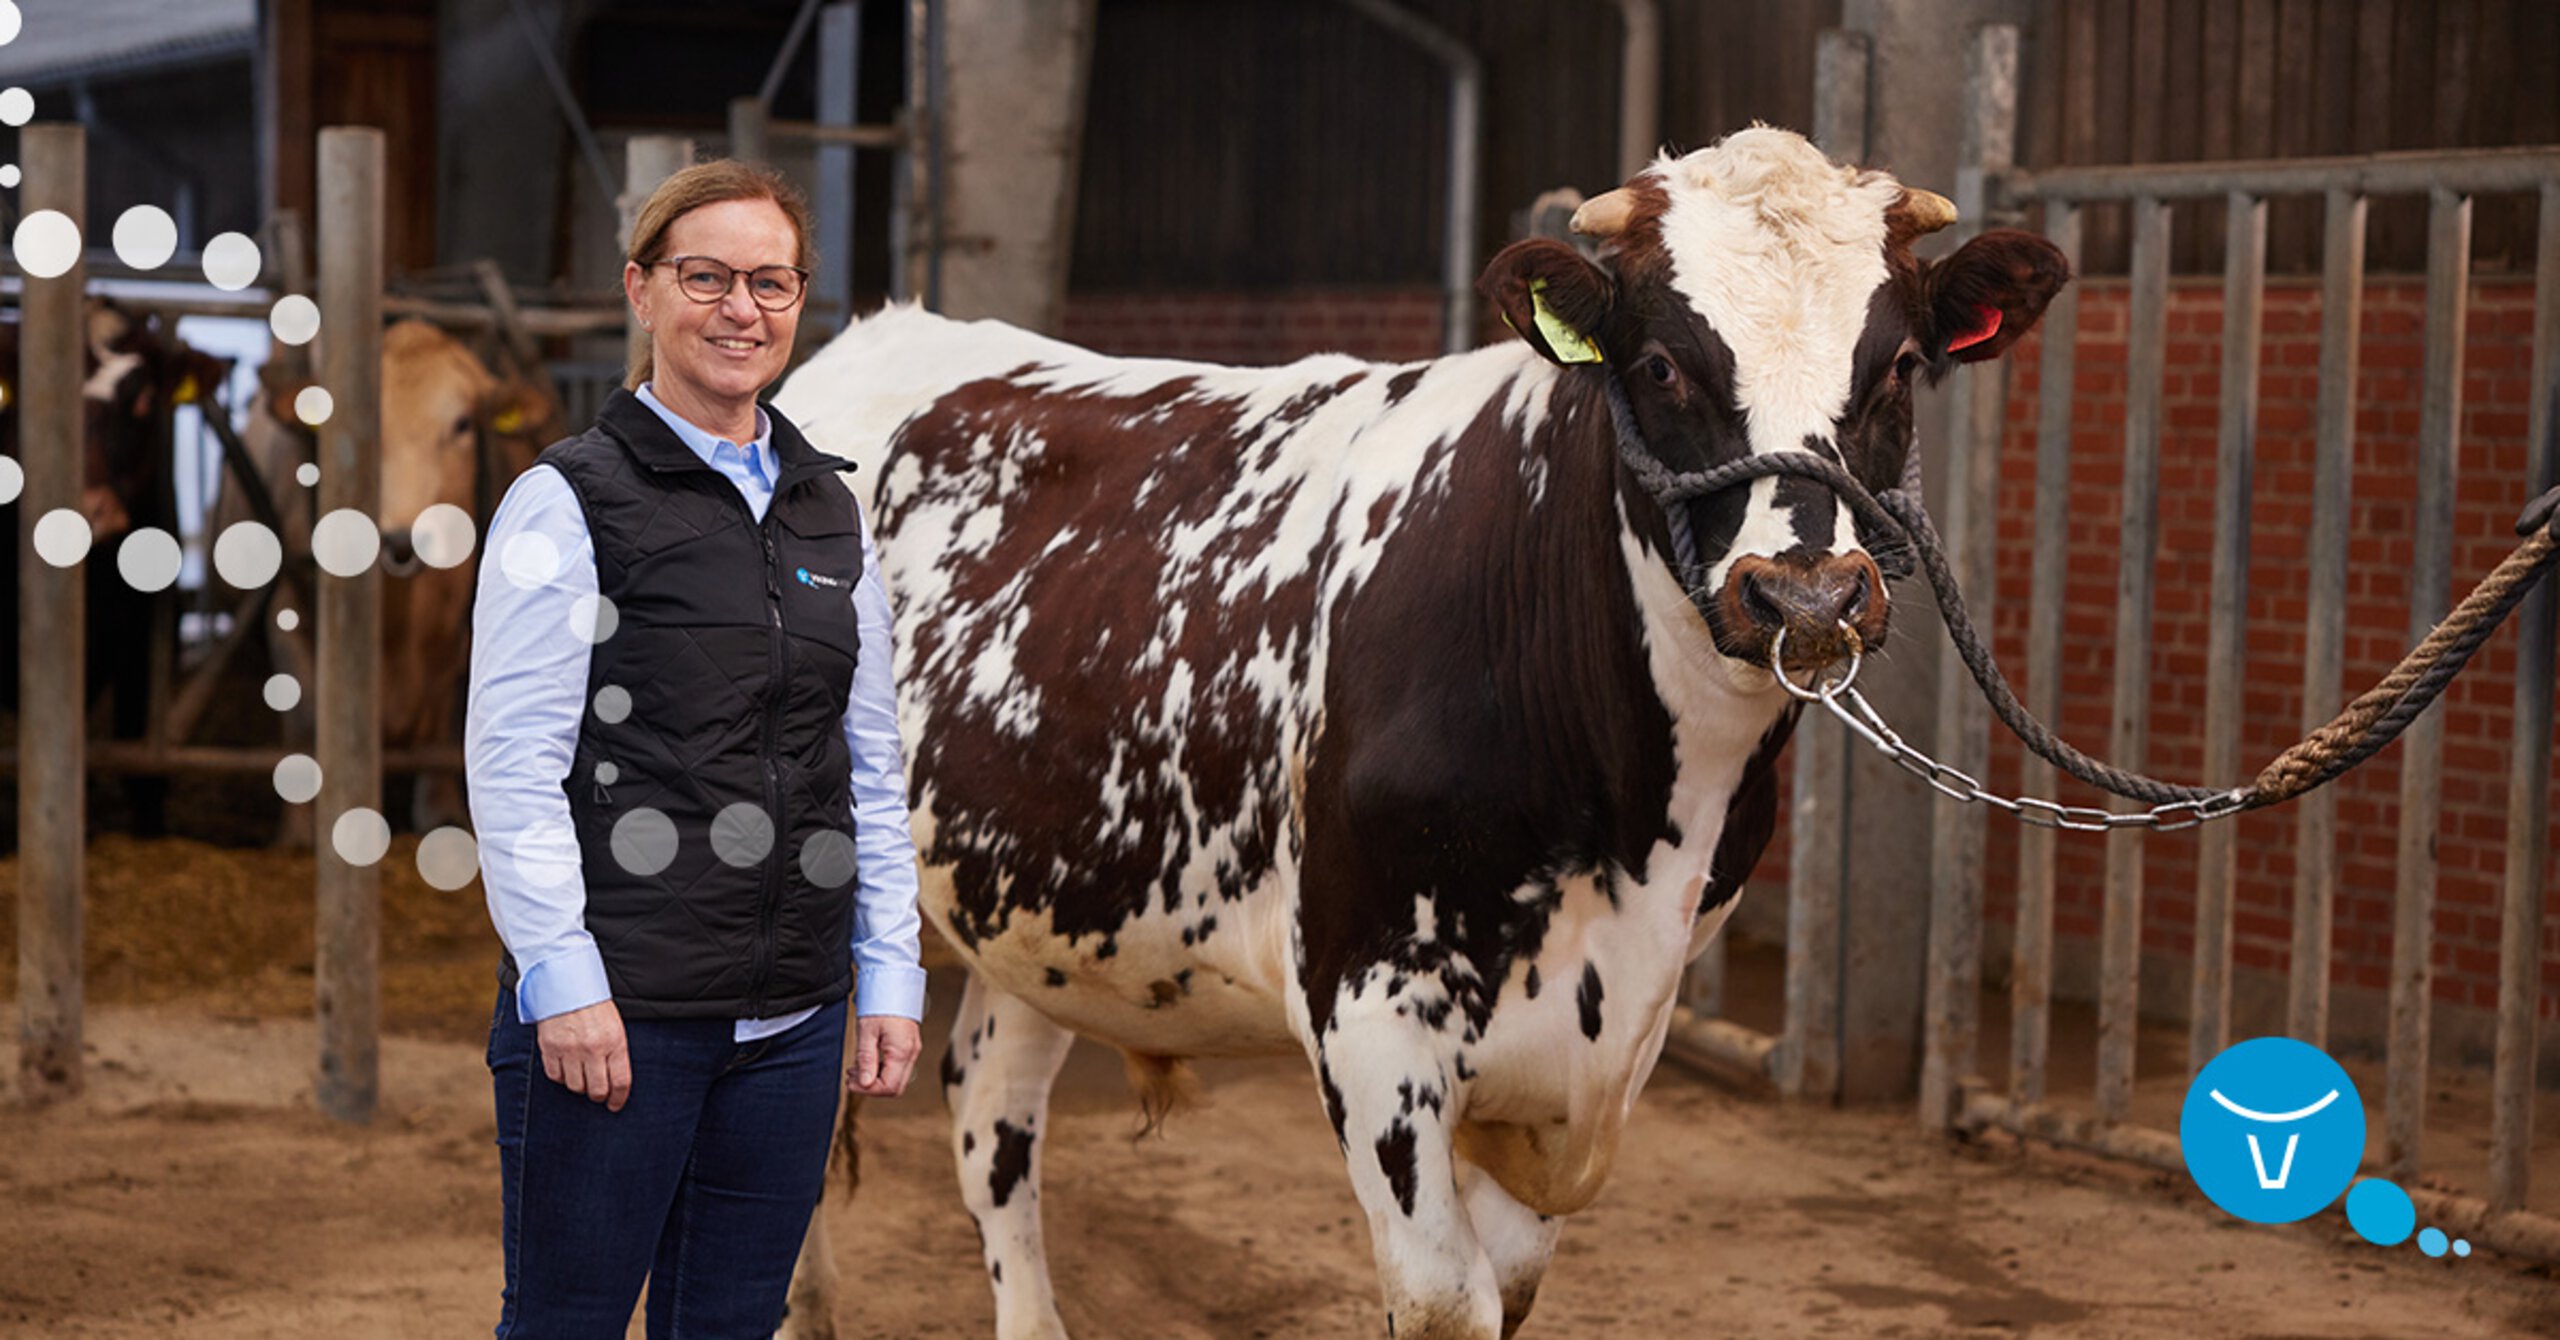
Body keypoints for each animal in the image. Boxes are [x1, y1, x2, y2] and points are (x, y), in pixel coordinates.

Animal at [768, 127, 2068, 1338]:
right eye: (1660, 362)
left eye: (1901, 364)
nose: (1806, 598)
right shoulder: (1365, 1001)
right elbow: (1445, 1297)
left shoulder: (1605, 1040)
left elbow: (1512, 1283)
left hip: (1039, 903)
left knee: (989, 1112)